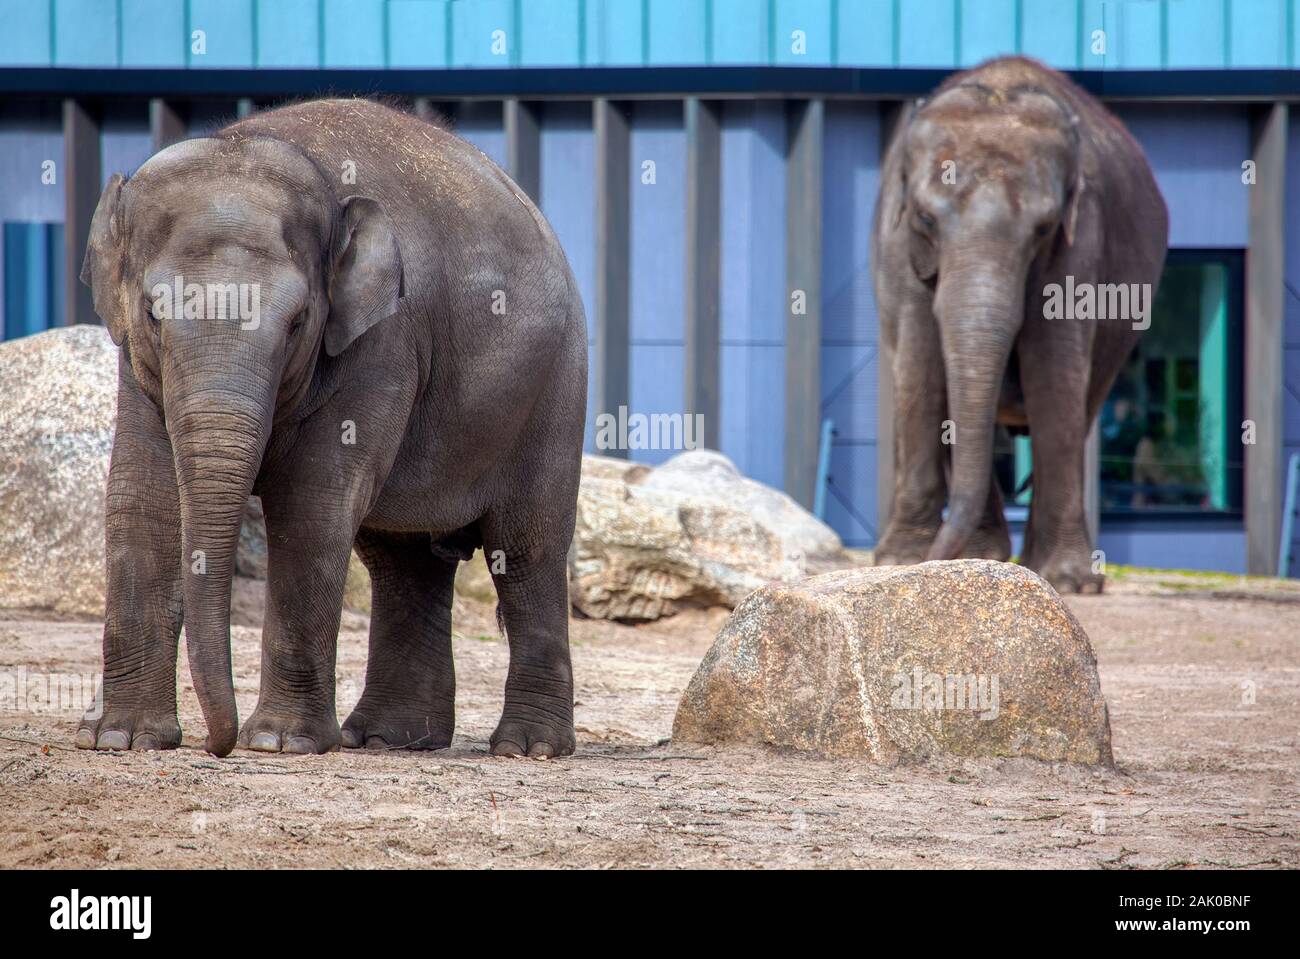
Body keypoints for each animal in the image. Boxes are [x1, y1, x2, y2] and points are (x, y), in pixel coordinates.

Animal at [76, 98, 587, 758]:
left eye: (297, 323)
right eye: (152, 313)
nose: (219, 744)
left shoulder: (383, 340)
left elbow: (312, 504)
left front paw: (279, 743)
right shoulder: (137, 366)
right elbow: (143, 499)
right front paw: (121, 738)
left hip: (554, 389)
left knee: (527, 551)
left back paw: (529, 747)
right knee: (403, 561)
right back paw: (391, 738)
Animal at [871, 56, 1168, 592]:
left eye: (1045, 228)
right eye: (925, 218)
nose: (930, 565)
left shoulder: (1081, 239)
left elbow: (1053, 369)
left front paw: (1070, 582)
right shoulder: (897, 245)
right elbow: (921, 363)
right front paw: (897, 561)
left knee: (1081, 403)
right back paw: (984, 553)